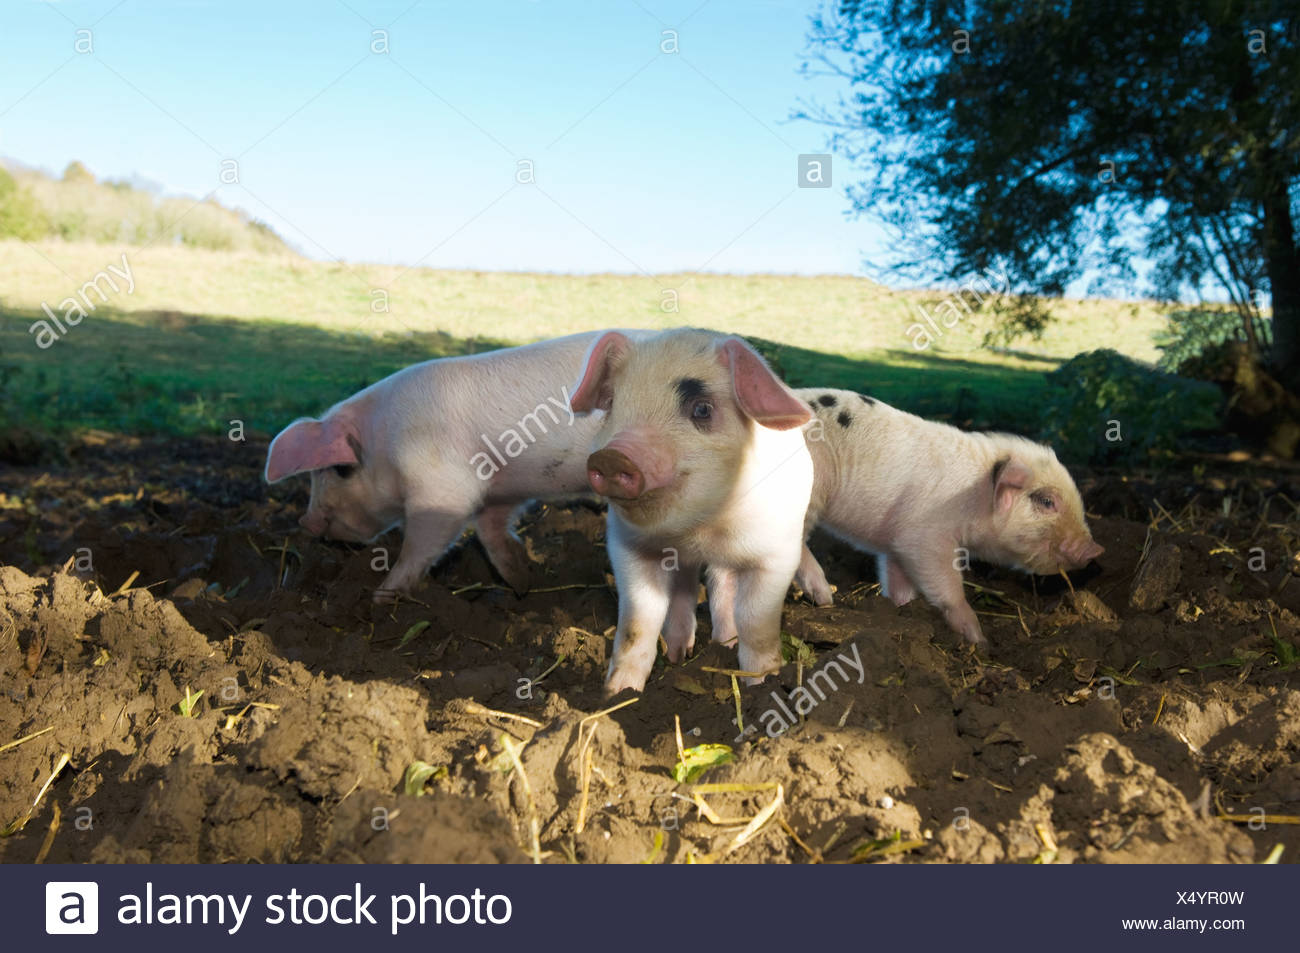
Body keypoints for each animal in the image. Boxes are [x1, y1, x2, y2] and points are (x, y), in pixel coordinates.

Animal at [264, 331, 642, 602]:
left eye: (340, 470)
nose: (306, 522)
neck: (386, 439)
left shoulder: (443, 486)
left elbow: (420, 547)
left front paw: (379, 599)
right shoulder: (499, 491)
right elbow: (492, 535)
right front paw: (523, 581)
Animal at [569, 328, 814, 695]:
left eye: (702, 409)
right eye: (612, 403)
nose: (612, 457)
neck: (699, 530)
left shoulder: (776, 555)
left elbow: (756, 619)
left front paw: (761, 682)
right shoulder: (628, 547)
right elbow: (638, 619)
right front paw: (617, 693)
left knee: (721, 584)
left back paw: (724, 642)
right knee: (685, 588)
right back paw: (678, 653)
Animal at [789, 389, 1103, 645]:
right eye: (1047, 501)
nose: (1096, 550)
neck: (974, 496)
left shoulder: (895, 542)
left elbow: (899, 581)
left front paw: (899, 609)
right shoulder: (924, 535)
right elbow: (946, 584)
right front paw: (978, 639)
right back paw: (825, 597)